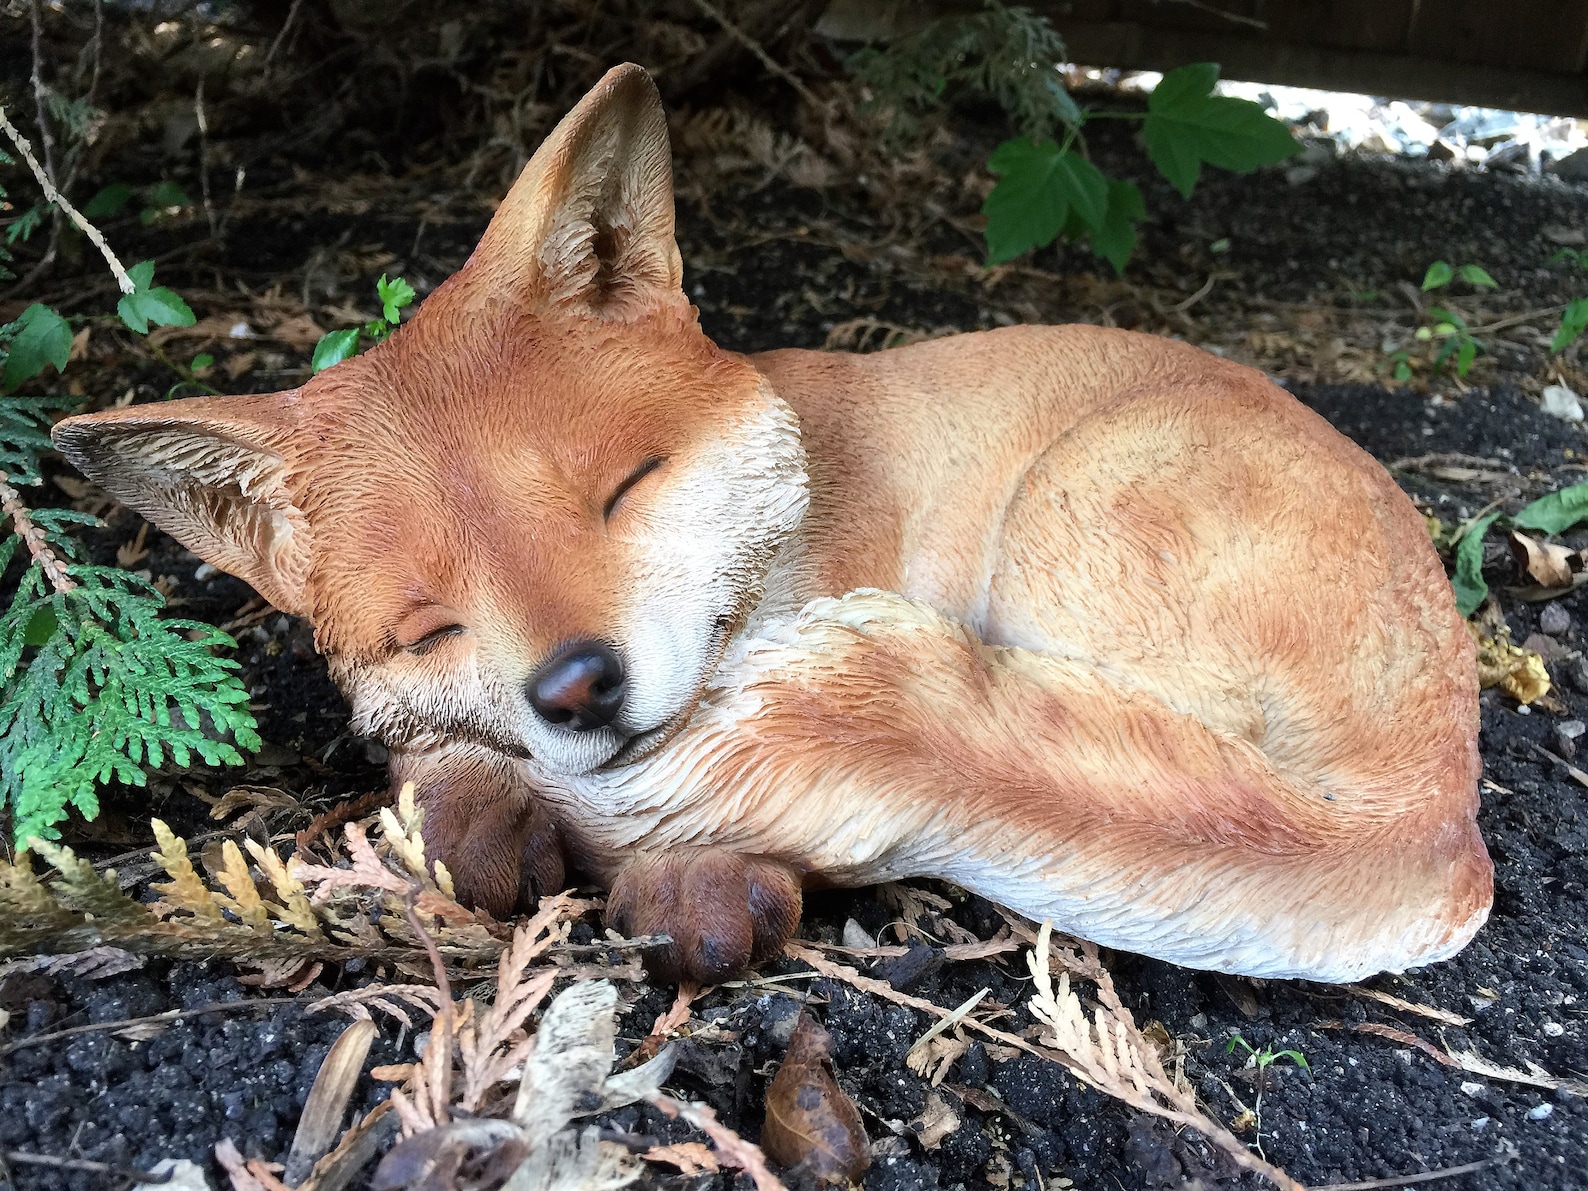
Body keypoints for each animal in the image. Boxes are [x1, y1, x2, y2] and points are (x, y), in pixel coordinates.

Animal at [53, 64, 1491, 986]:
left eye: (623, 487)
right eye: (428, 622)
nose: (576, 686)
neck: (816, 492)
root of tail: (1436, 818)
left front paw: (690, 873)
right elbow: (436, 764)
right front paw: (468, 812)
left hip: (1066, 511)